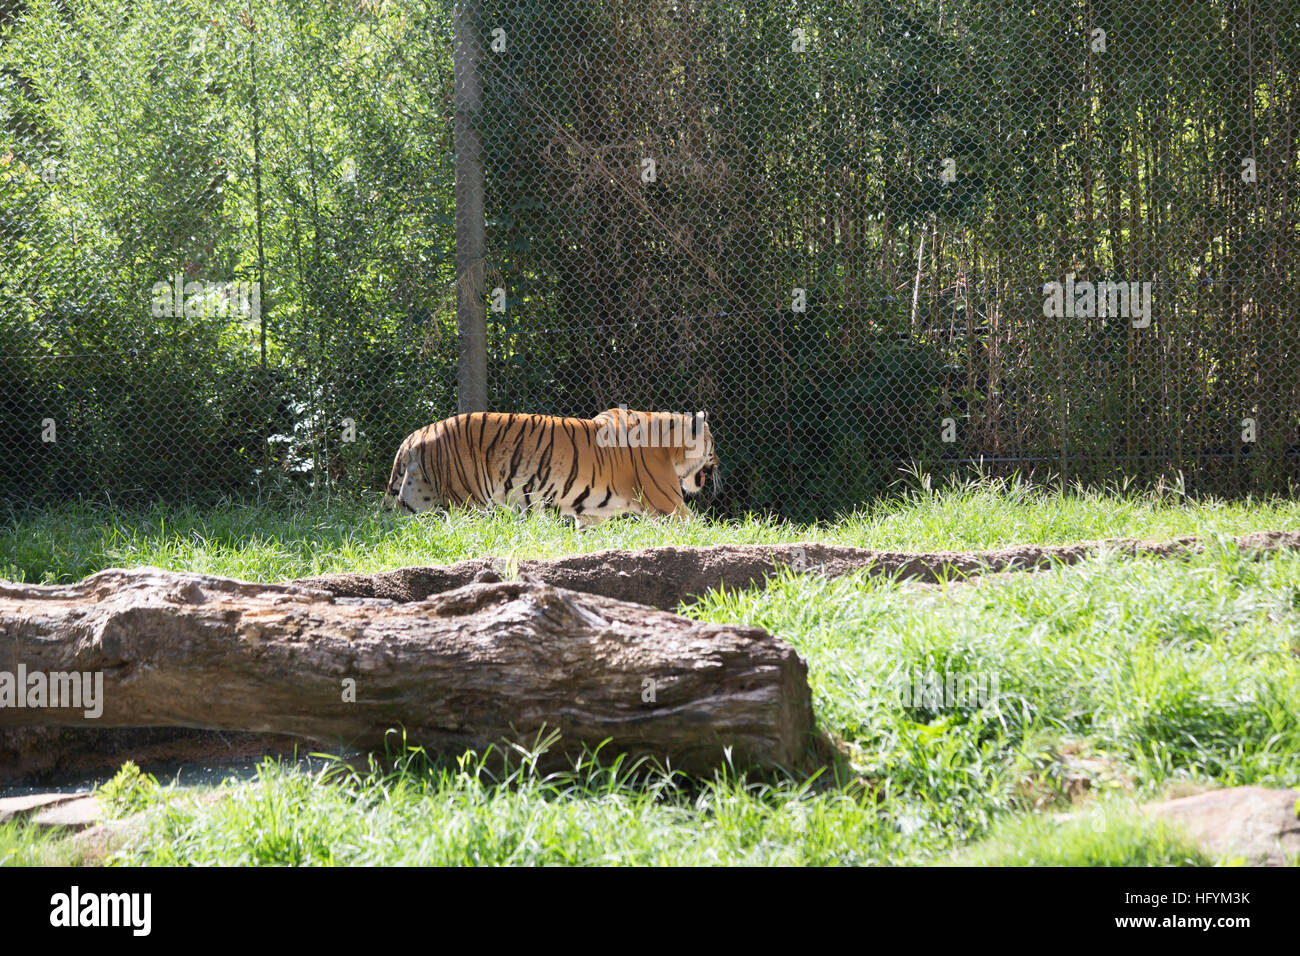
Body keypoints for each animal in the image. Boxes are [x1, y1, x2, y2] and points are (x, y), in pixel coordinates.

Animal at [384, 407, 720, 524]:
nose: (718, 463)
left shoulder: (591, 514)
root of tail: (419, 433)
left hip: (416, 501)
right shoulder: (668, 503)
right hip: (468, 499)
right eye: (713, 443)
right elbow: (700, 529)